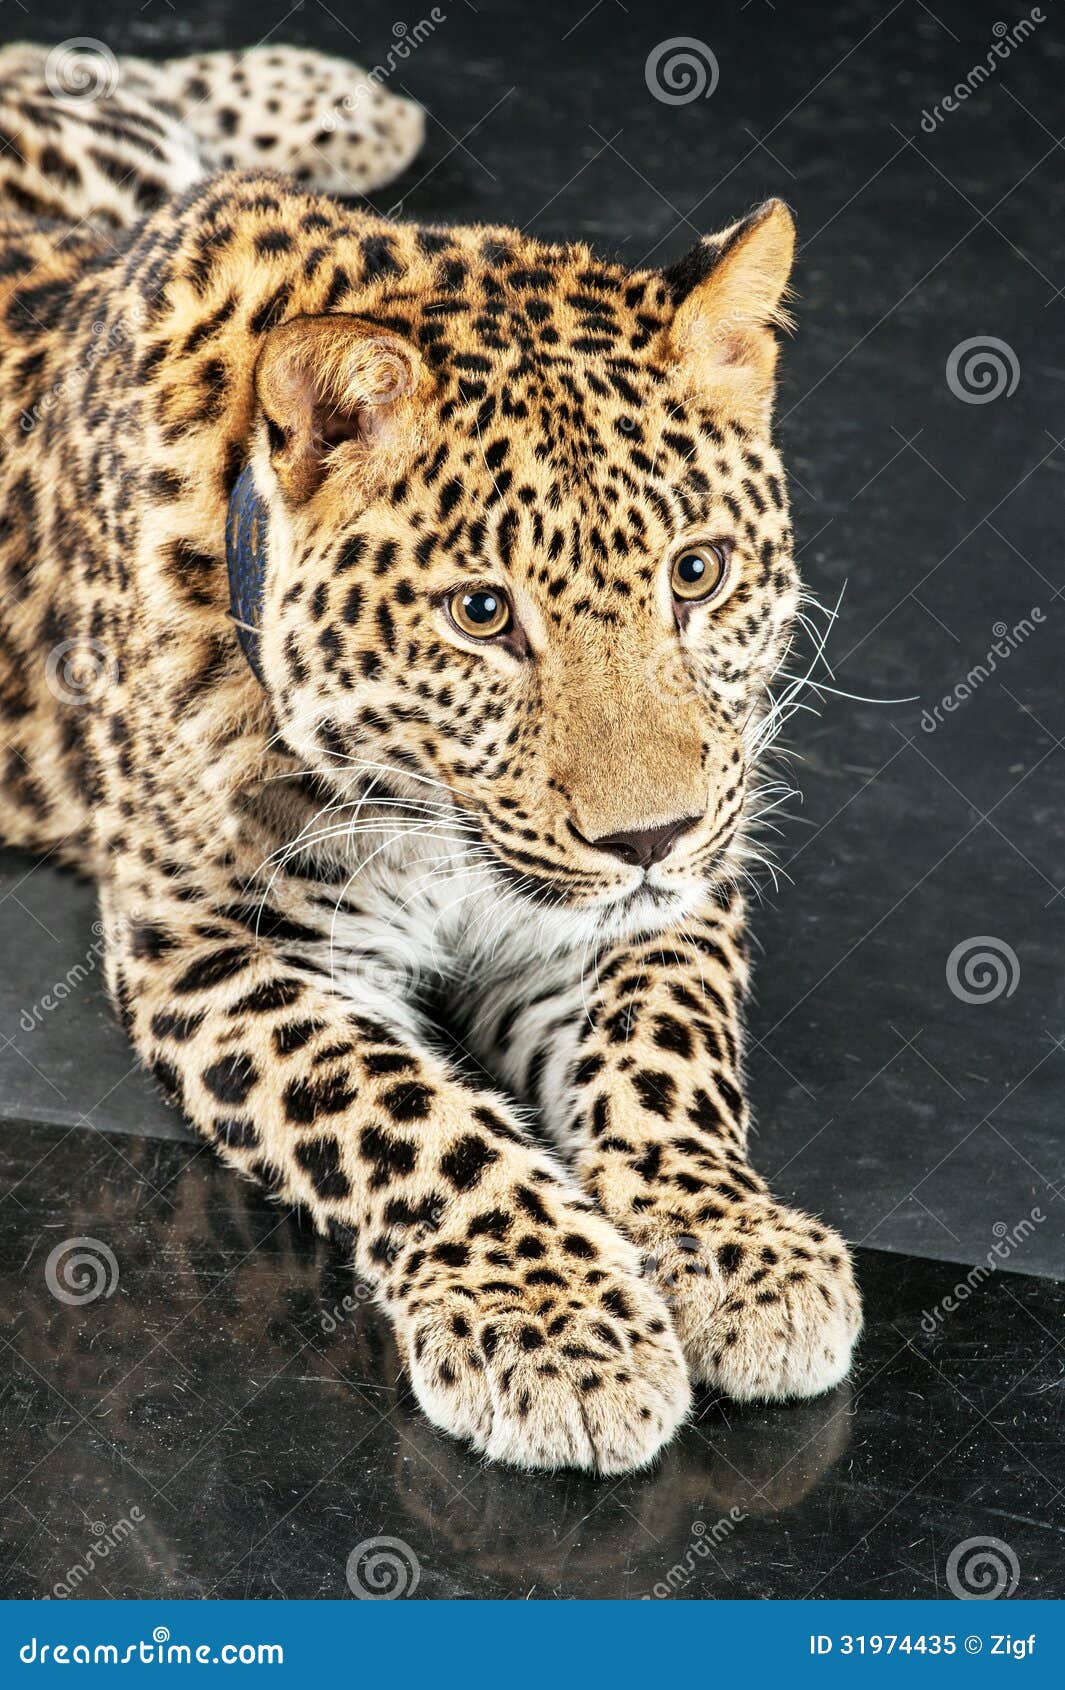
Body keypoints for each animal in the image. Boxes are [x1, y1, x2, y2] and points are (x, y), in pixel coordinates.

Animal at [0, 37, 861, 1474]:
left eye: (696, 574)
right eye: (480, 614)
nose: (647, 836)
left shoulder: (671, 888)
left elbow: (665, 1053)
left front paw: (735, 1247)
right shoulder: (217, 944)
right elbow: (406, 1115)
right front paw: (556, 1323)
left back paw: (337, 99)